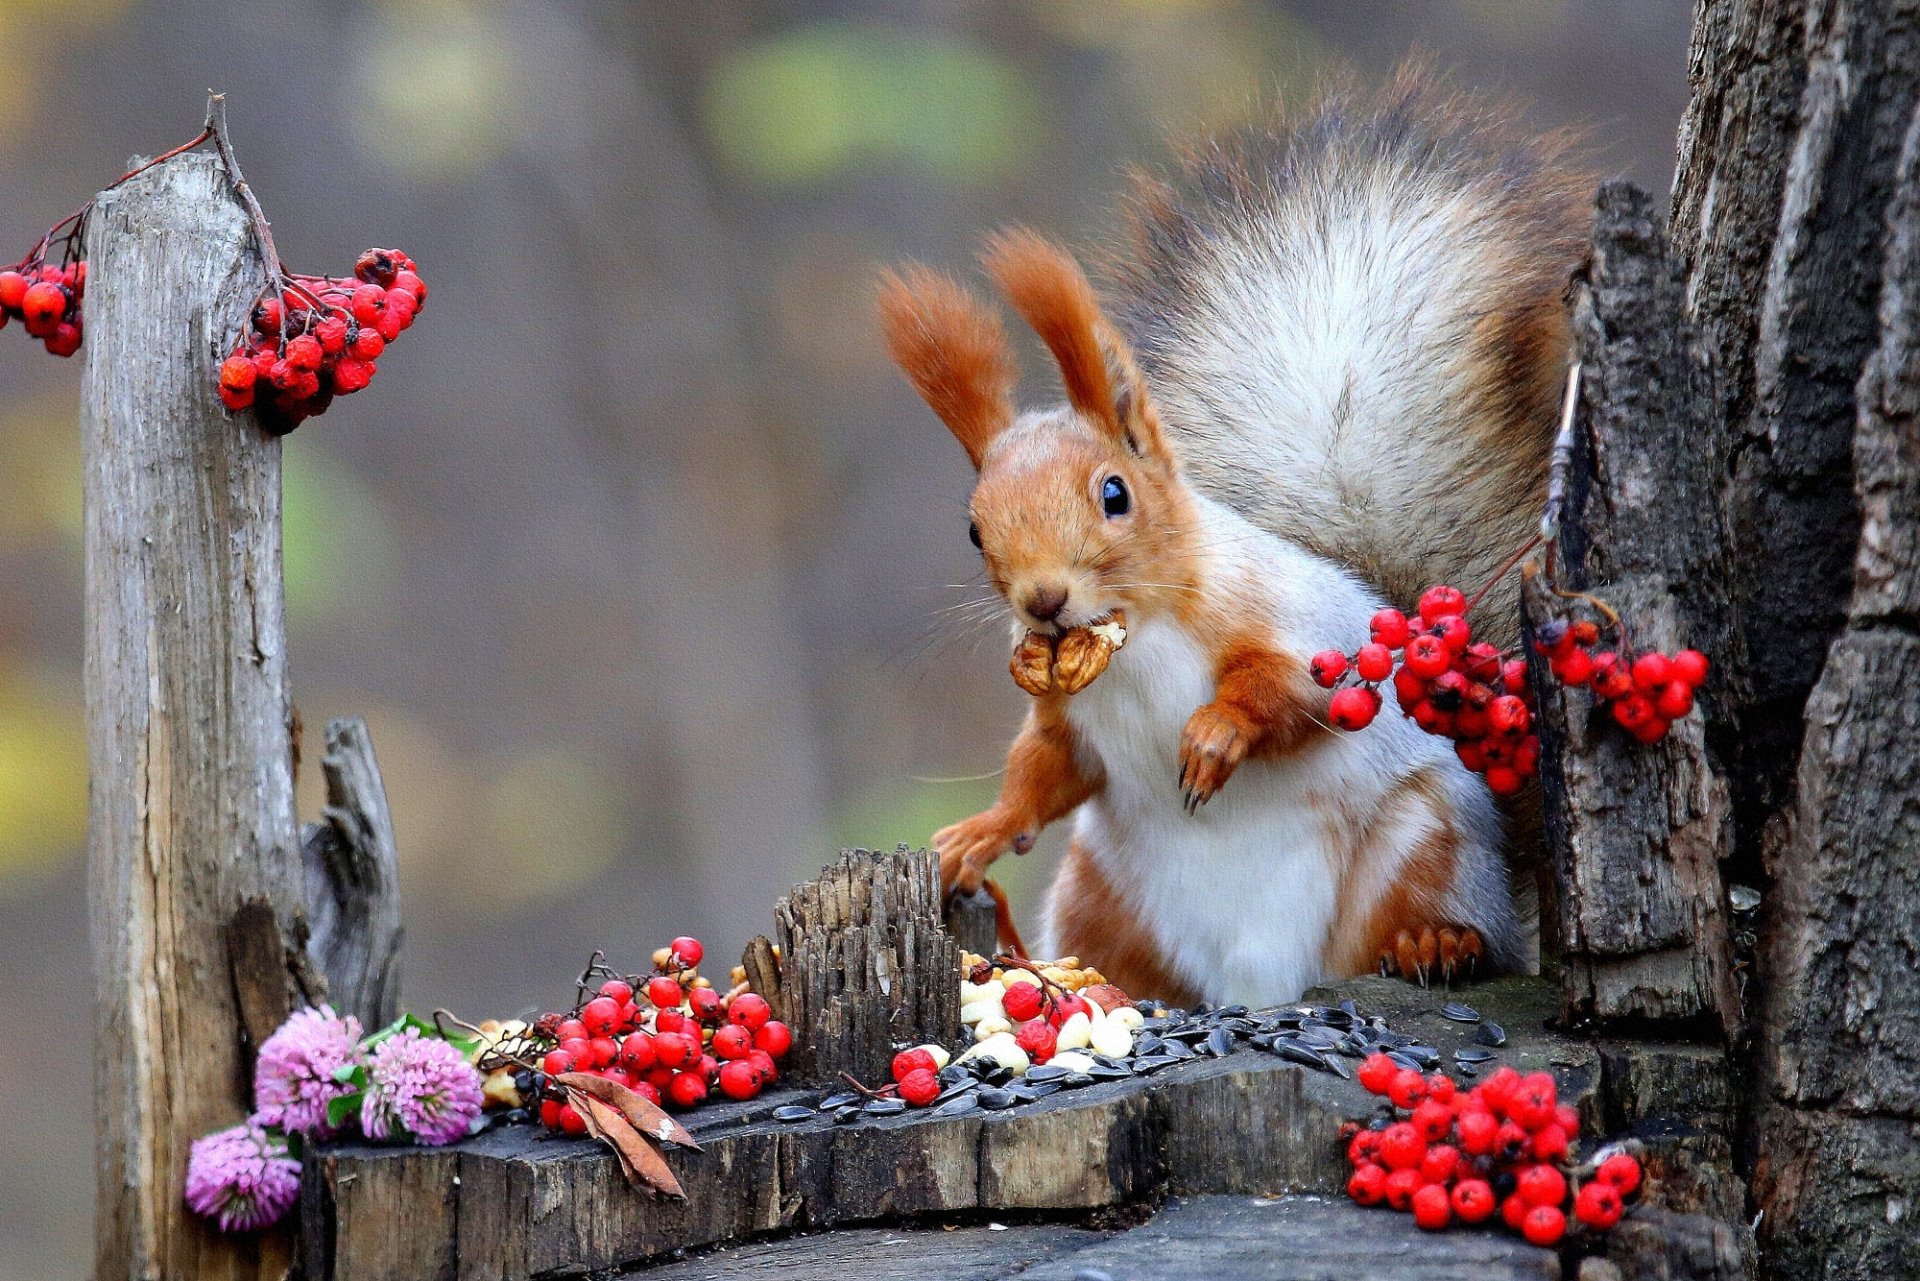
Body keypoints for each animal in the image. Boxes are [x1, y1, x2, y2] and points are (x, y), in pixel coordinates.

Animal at [877, 68, 1593, 1009]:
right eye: (973, 527)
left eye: (1114, 494)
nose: (1043, 600)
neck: (1135, 636)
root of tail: (1258, 985)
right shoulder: (1070, 717)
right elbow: (1046, 770)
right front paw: (981, 831)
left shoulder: (1299, 629)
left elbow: (1285, 692)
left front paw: (1215, 735)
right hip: (1100, 900)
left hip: (1420, 844)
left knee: (1428, 921)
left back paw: (1437, 940)